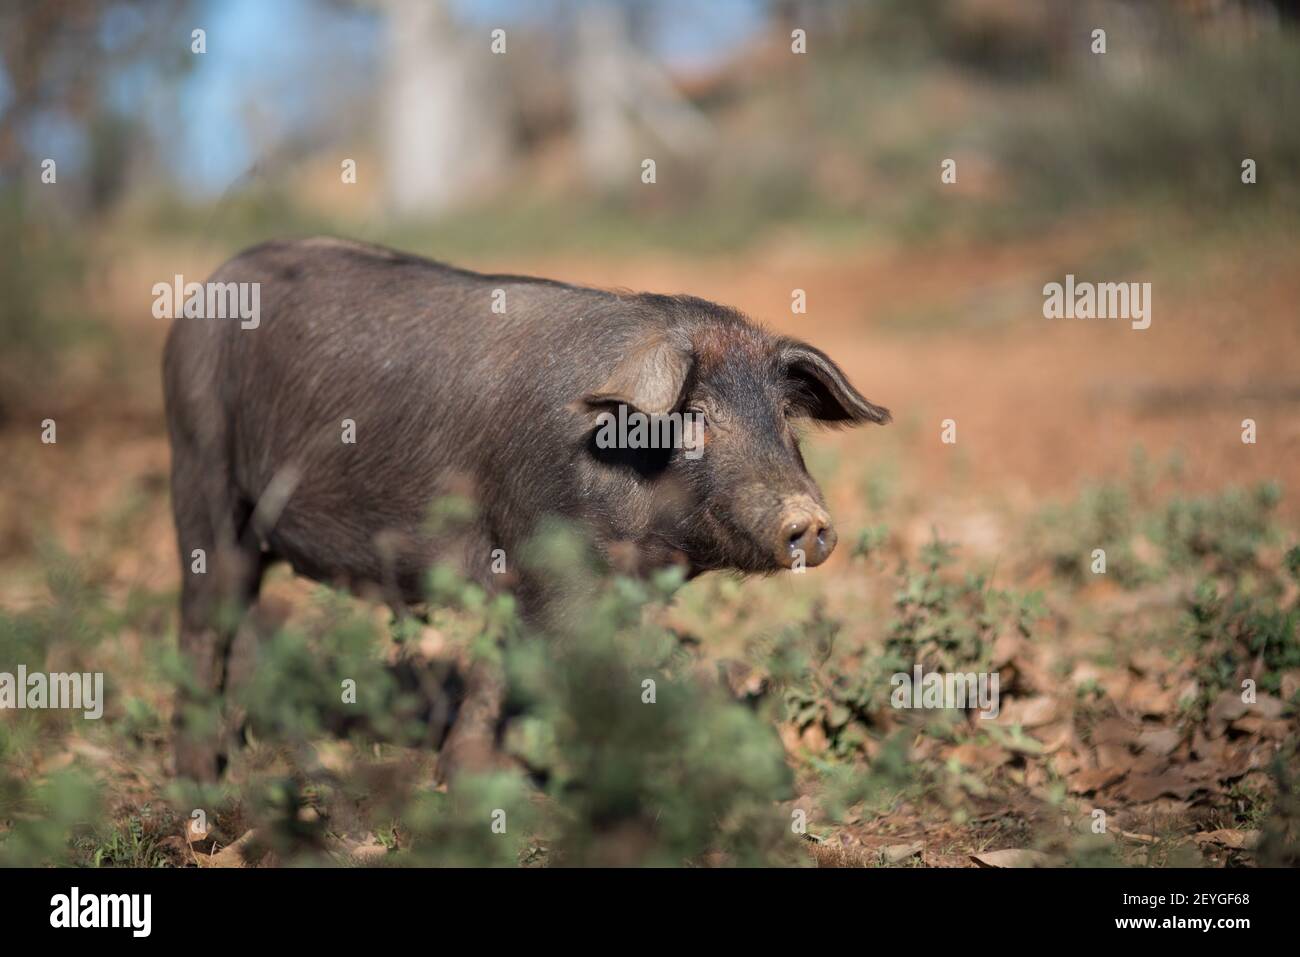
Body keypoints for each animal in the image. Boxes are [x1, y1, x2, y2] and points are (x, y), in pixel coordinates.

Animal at [163, 237, 890, 782]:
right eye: (697, 419)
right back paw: (203, 778)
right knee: (203, 615)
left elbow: (502, 670)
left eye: (785, 422)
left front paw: (472, 778)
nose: (810, 519)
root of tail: (208, 289)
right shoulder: (550, 562)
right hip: (199, 461)